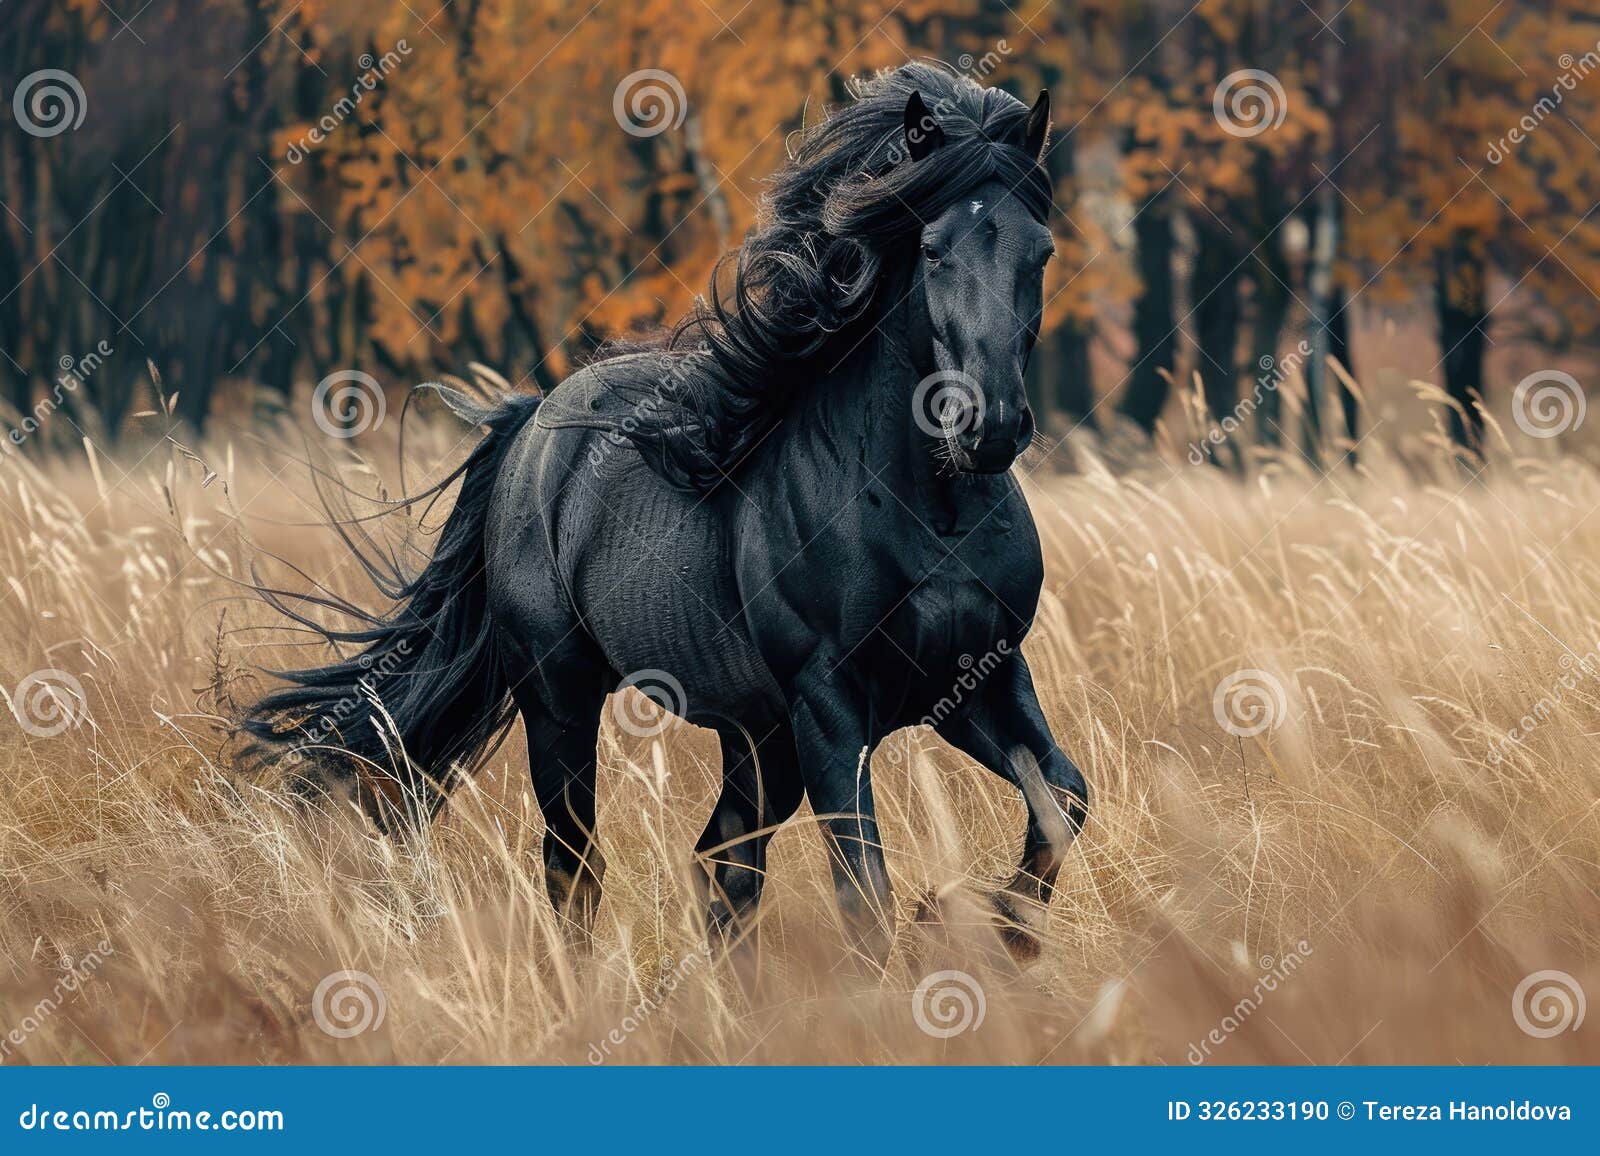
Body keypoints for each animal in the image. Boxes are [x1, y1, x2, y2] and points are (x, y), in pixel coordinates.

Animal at [242, 61, 1089, 966]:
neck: (932, 516)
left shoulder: (979, 678)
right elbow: (866, 893)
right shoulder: (831, 706)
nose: (990, 426)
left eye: (1041, 252)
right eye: (932, 251)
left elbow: (1062, 800)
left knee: (721, 868)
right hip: (564, 701)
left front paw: (1007, 930)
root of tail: (532, 425)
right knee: (576, 864)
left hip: (757, 737)